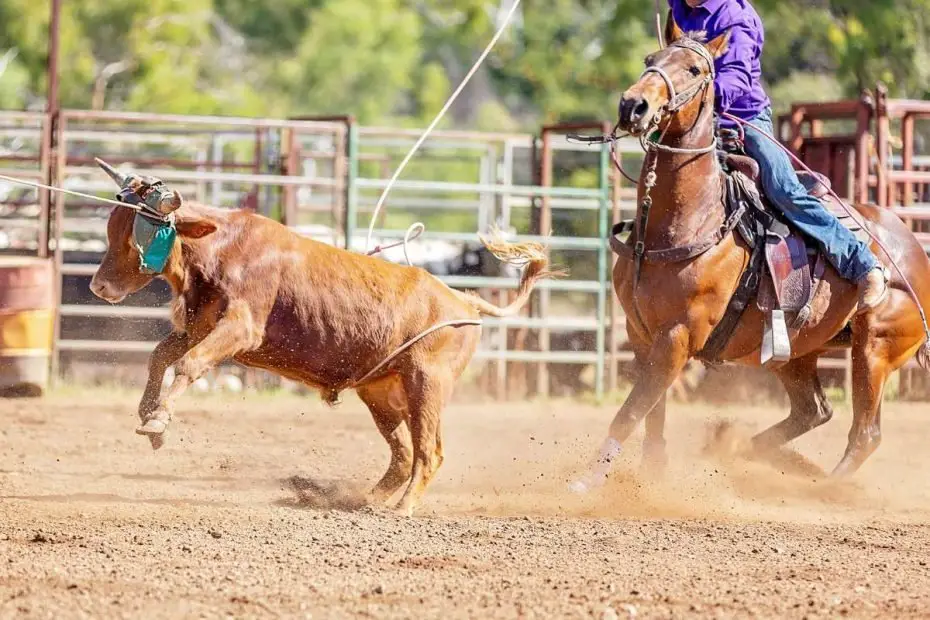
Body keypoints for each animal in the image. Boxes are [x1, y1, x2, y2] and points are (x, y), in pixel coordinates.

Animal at [570, 21, 930, 491]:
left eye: (694, 69)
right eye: (651, 59)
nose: (634, 105)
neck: (692, 221)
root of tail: (914, 248)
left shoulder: (678, 336)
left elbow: (631, 410)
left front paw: (587, 482)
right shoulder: (642, 334)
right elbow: (652, 415)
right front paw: (651, 476)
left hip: (874, 349)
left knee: (864, 434)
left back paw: (821, 487)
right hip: (796, 351)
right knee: (813, 411)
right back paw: (740, 451)